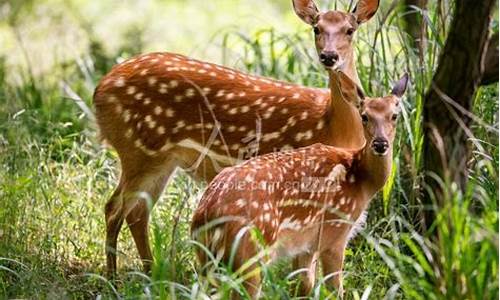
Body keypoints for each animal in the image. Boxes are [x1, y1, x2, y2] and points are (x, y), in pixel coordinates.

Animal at [94, 0, 378, 276]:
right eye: (316, 29)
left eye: (350, 30)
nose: (329, 56)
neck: (332, 123)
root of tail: (99, 91)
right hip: (139, 149)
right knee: (114, 208)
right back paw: (113, 278)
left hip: (162, 159)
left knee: (137, 212)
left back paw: (150, 273)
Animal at [190, 73, 406, 298]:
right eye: (364, 116)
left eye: (394, 116)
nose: (380, 144)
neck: (360, 180)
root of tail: (207, 215)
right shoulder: (334, 232)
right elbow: (335, 290)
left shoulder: (306, 245)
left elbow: (303, 286)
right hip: (250, 253)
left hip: (208, 260)